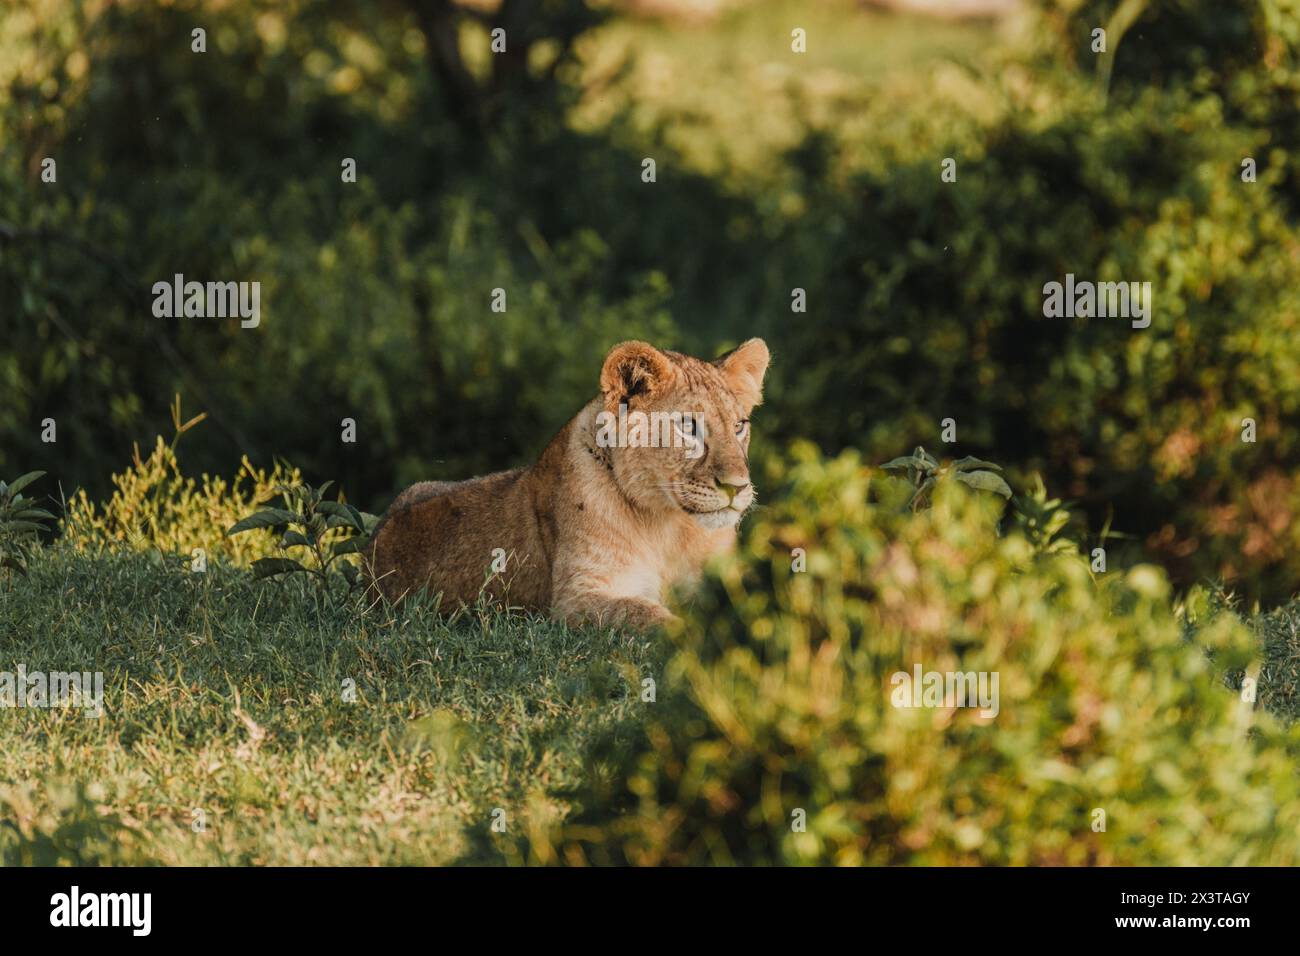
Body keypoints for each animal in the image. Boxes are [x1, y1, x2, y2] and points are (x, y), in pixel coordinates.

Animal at [364, 338, 770, 629]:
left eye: (739, 426)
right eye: (688, 427)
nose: (737, 487)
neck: (670, 524)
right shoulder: (575, 598)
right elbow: (646, 615)